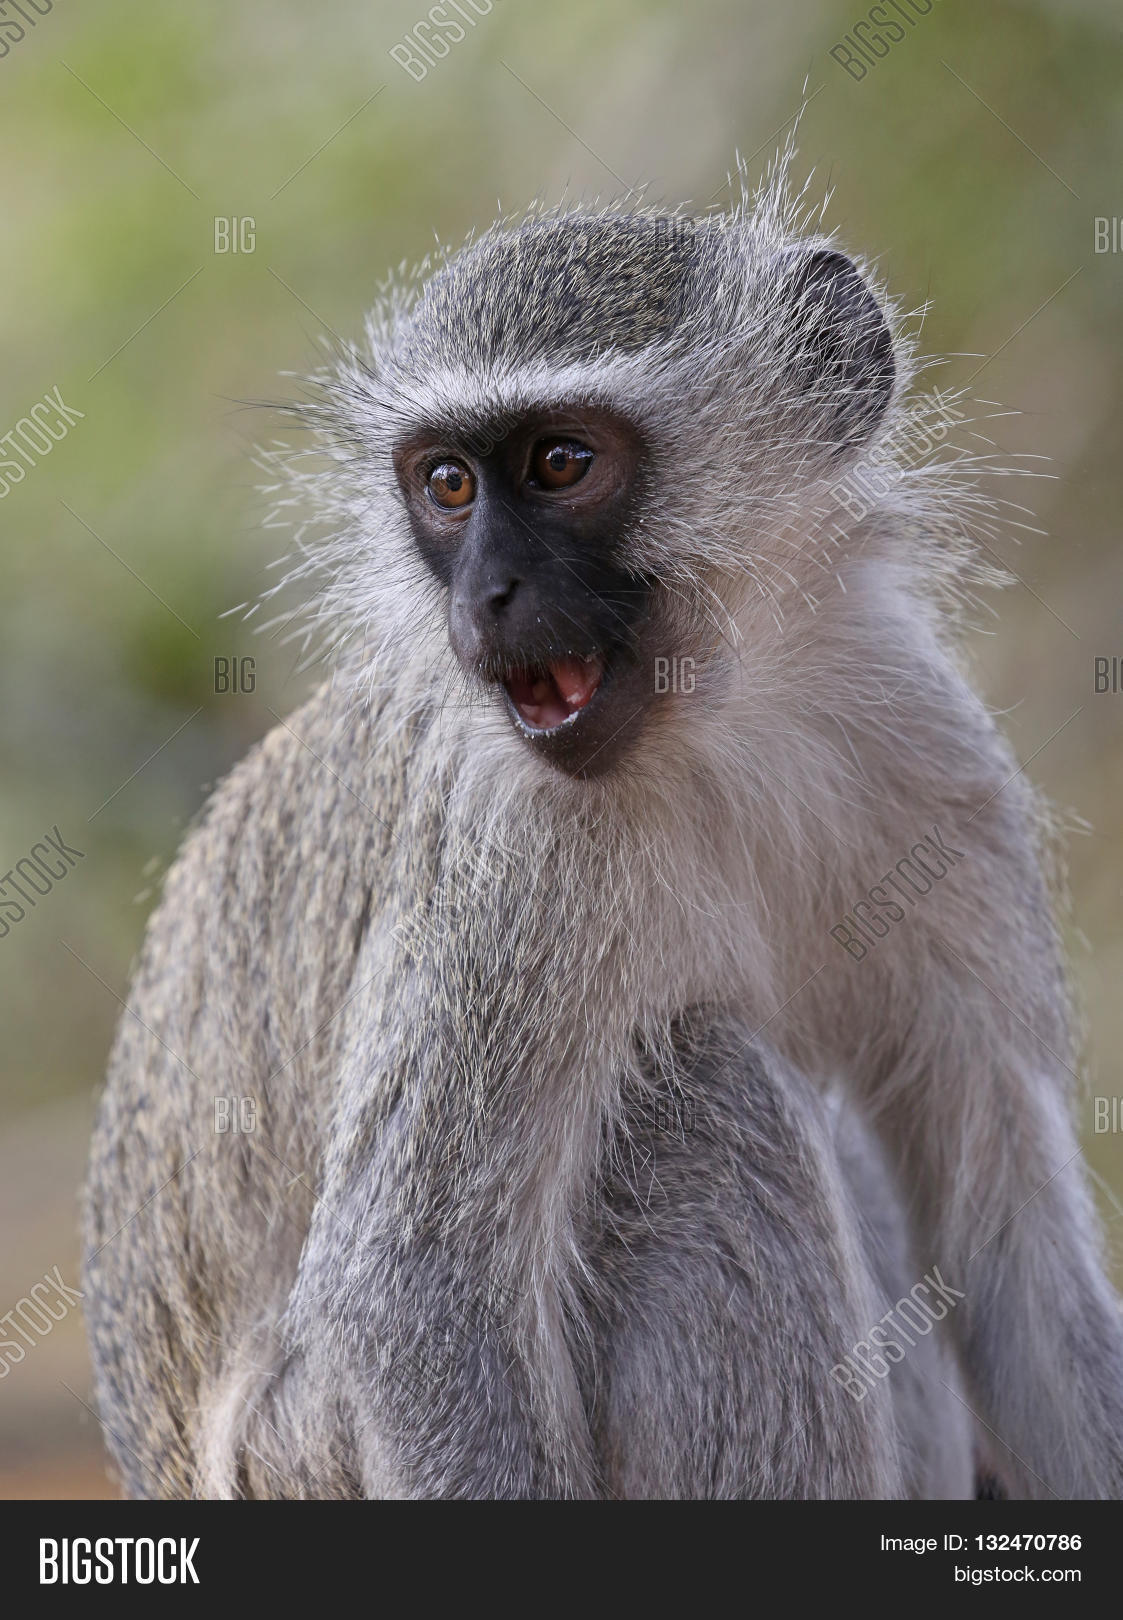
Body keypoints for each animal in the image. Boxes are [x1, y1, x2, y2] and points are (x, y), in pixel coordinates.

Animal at [83, 164, 1123, 1500]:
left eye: (562, 462)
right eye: (448, 485)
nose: (486, 598)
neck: (719, 723)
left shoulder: (942, 766)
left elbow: (1012, 1246)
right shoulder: (505, 865)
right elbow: (420, 1290)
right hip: (307, 1458)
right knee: (702, 1088)